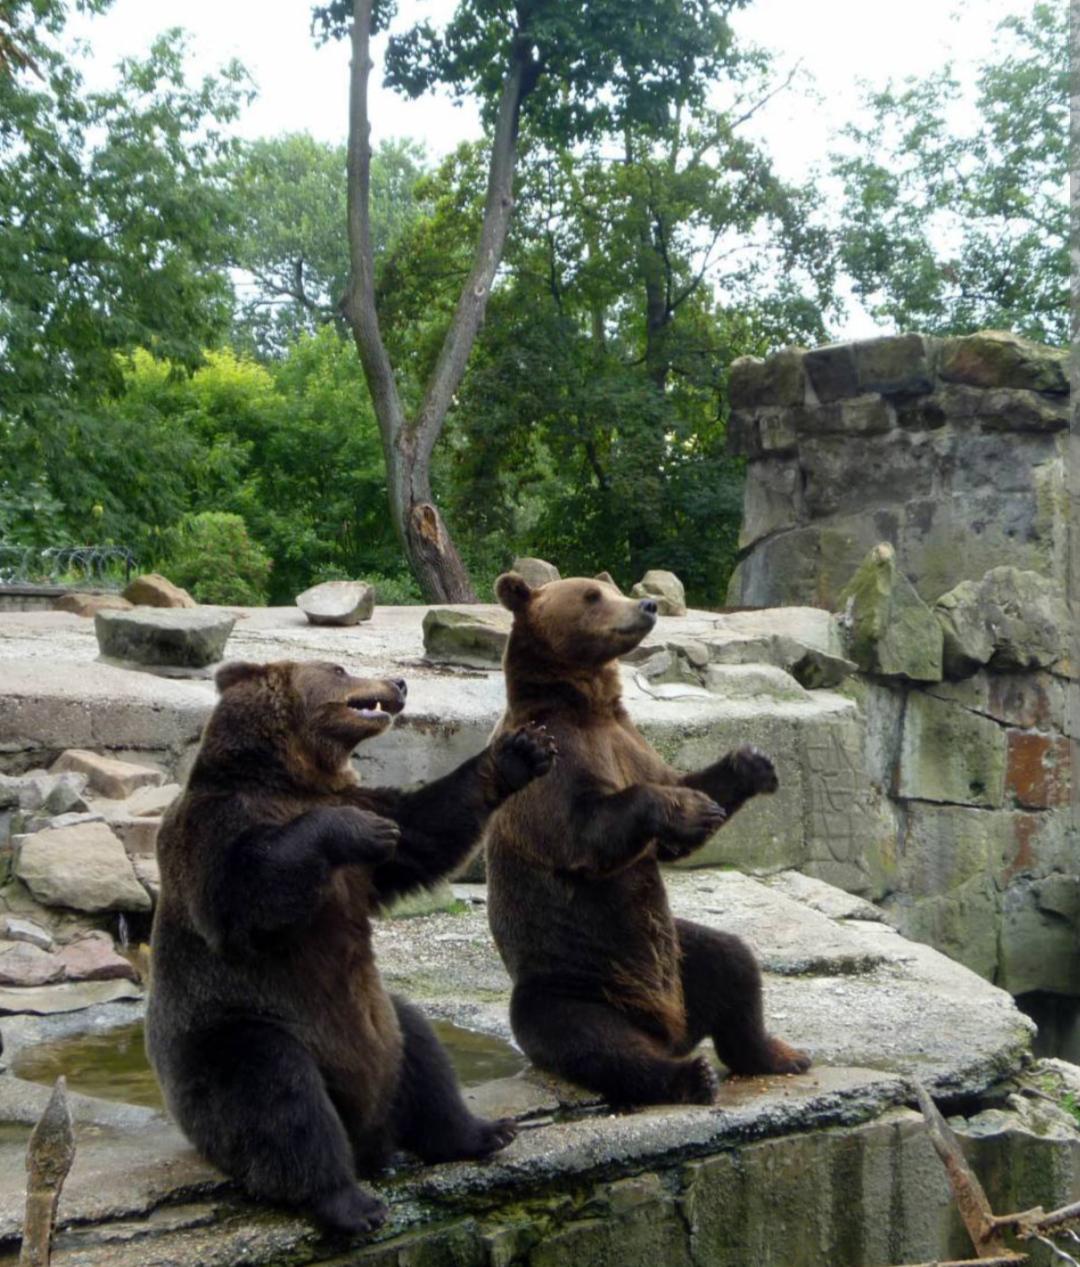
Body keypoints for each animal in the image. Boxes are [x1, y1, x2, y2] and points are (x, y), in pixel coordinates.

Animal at [146, 663, 557, 1236]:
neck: (291, 778)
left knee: (421, 1049)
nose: (400, 682)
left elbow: (423, 829)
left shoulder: (366, 813)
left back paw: (480, 1131)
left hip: (381, 1021)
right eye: (338, 669)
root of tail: (367, 1138)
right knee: (279, 1095)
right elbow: (241, 896)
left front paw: (522, 750)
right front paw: (352, 830)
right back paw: (350, 1203)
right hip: (235, 1034)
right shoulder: (217, 828)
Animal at [484, 570, 811, 1104]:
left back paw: (781, 1055)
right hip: (573, 982)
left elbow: (678, 796)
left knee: (733, 963)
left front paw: (753, 763)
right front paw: (691, 808)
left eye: (612, 587)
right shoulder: (549, 765)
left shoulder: (629, 743)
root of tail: (667, 1026)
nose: (647, 606)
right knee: (597, 1040)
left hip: (679, 953)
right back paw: (690, 1076)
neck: (587, 707)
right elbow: (585, 832)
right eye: (592, 596)